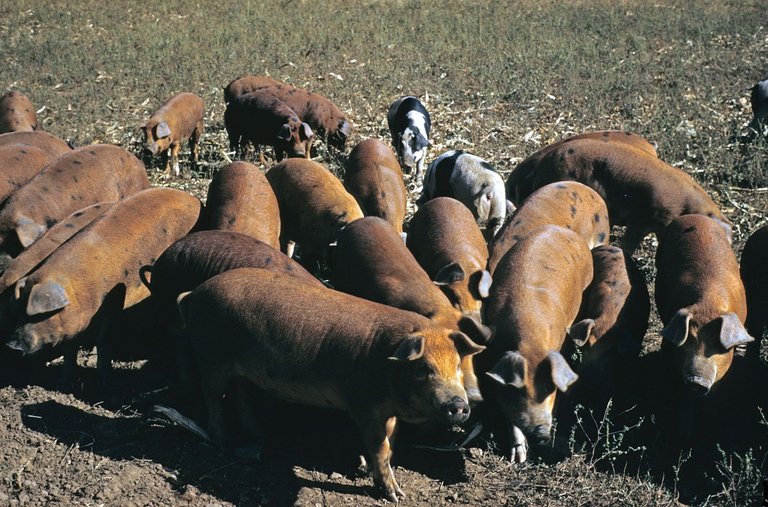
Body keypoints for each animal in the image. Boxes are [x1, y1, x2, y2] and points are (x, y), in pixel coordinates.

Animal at [5, 187, 202, 376]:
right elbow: (70, 348)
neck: (79, 293)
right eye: (19, 312)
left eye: (38, 315)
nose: (12, 346)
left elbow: (103, 340)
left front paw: (103, 376)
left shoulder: (111, 304)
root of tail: (193, 199)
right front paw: (66, 377)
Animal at [178, 267, 483, 502]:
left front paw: (370, 473)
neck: (387, 365)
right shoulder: (364, 406)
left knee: (240, 394)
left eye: (457, 365)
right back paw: (223, 443)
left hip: (239, 368)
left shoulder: (388, 413)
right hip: (211, 358)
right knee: (213, 397)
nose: (458, 404)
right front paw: (397, 496)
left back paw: (258, 437)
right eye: (423, 369)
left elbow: (390, 443)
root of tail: (194, 293)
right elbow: (379, 446)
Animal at [477, 225, 593, 463]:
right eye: (519, 390)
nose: (540, 433)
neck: (530, 344)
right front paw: (519, 458)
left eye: (549, 387)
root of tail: (562, 231)